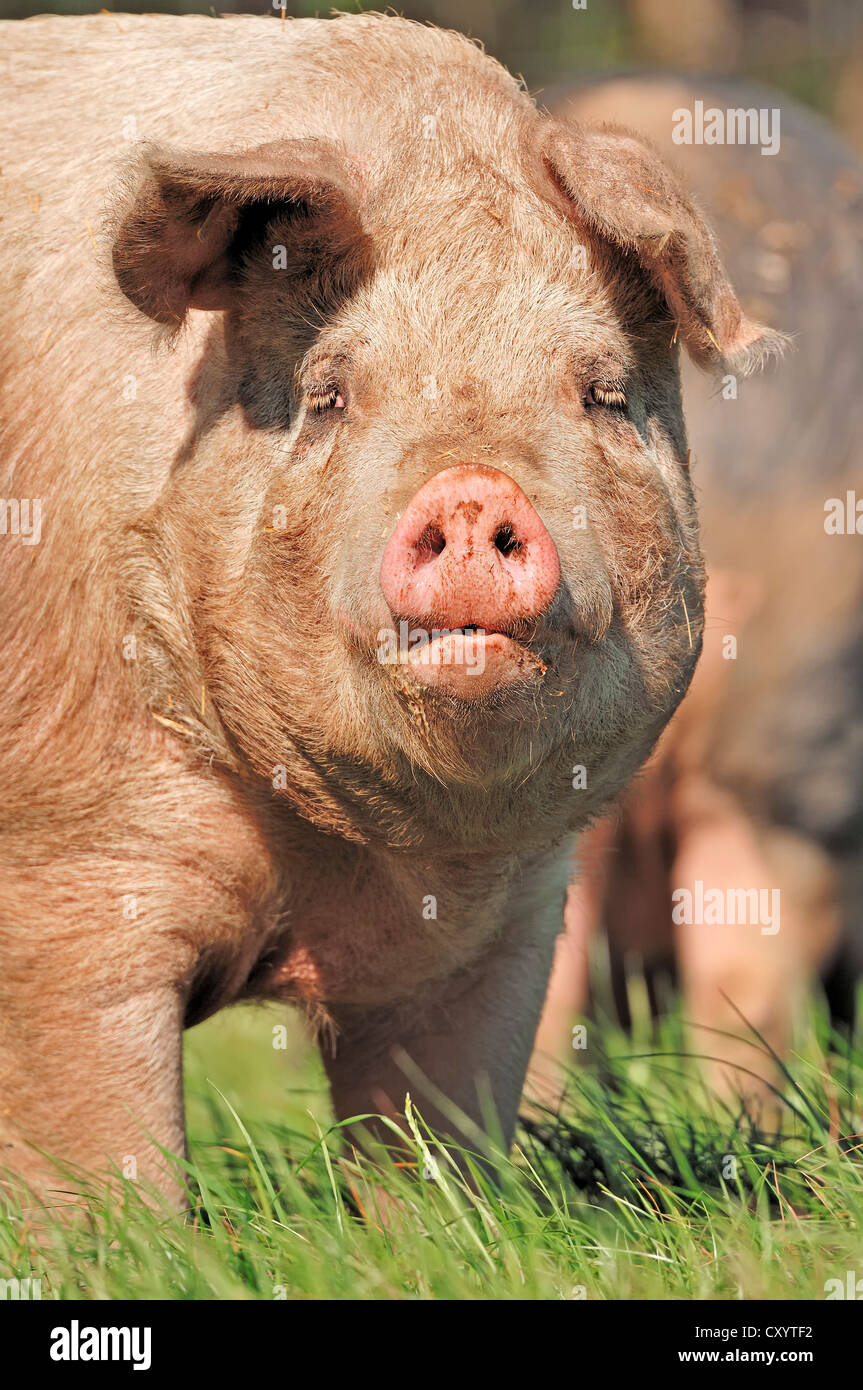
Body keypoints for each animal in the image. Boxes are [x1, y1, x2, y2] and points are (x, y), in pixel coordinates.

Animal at [0, 13, 781, 1201]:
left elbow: (438, 1128)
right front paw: (122, 1232)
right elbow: (99, 1156)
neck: (350, 857)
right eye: (327, 396)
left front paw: (433, 1221)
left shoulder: (509, 919)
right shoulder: (67, 866)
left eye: (602, 395)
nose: (471, 488)